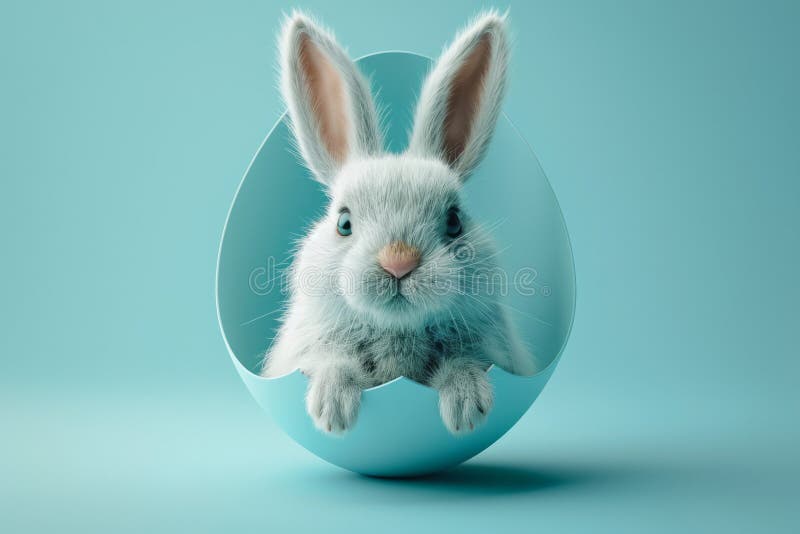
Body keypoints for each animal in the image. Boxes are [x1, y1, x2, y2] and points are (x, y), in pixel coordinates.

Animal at [261, 10, 537, 436]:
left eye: (455, 221)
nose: (399, 262)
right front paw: (332, 412)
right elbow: (331, 363)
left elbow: (464, 364)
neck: (398, 329)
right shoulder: (313, 349)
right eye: (344, 223)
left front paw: (466, 410)